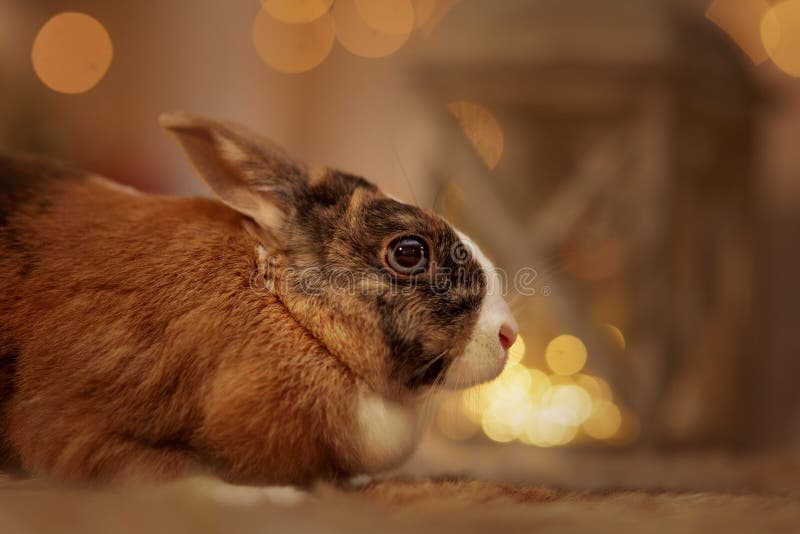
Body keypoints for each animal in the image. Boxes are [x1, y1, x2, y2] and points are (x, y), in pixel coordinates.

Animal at [0, 112, 518, 486]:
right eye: (409, 252)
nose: (510, 335)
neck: (289, 310)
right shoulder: (74, 425)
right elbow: (171, 473)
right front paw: (271, 499)